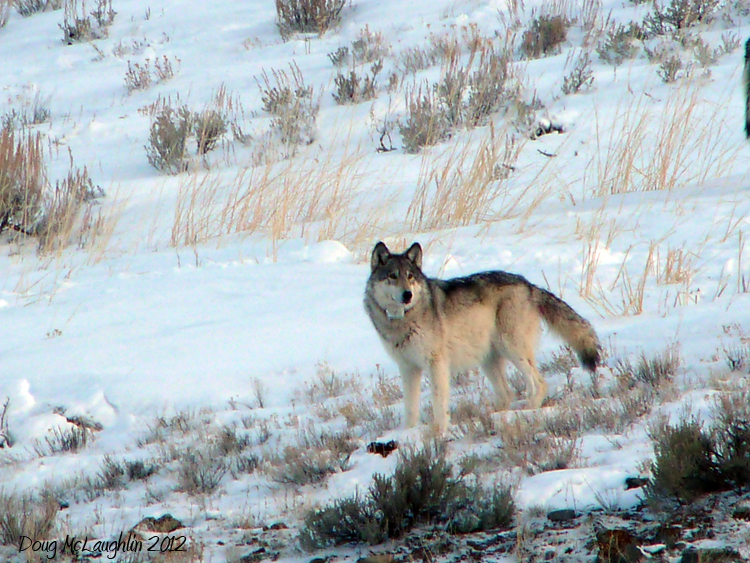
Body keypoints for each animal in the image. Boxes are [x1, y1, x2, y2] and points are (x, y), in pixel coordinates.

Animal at [364, 241, 601, 433]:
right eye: (392, 276)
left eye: (410, 277)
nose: (407, 295)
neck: (402, 320)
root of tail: (529, 285)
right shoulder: (408, 368)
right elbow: (410, 408)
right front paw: (408, 433)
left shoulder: (436, 363)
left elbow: (439, 403)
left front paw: (439, 432)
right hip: (489, 360)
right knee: (507, 393)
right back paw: (493, 417)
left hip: (512, 349)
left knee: (539, 383)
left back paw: (526, 412)